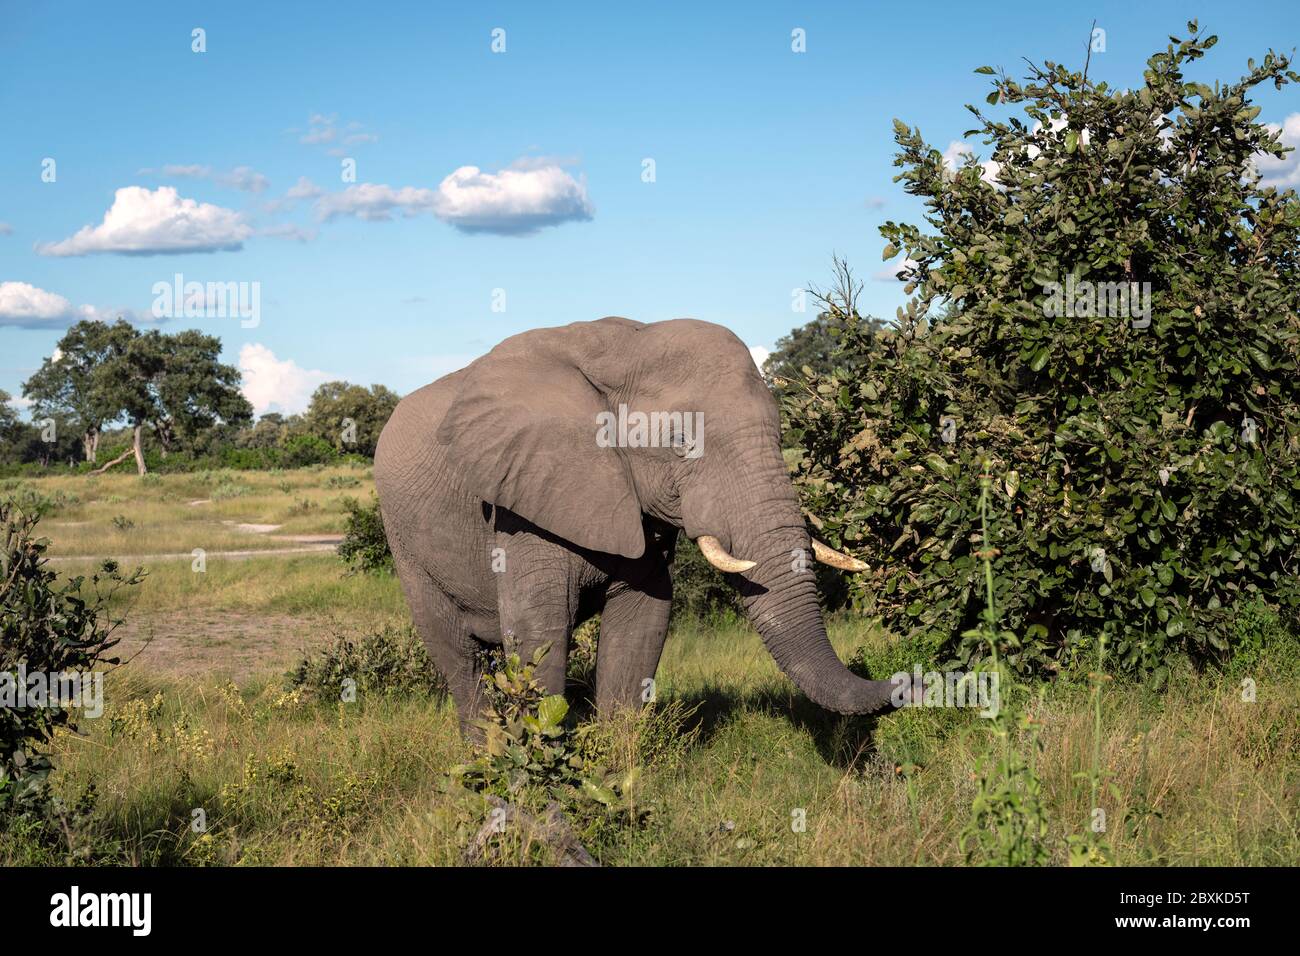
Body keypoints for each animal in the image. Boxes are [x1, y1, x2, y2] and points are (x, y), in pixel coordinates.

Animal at [374, 316, 907, 736]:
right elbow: (537, 630)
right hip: (405, 545)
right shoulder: (520, 502)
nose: (908, 681)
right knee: (458, 656)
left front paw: (617, 760)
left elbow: (644, 616)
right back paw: (485, 754)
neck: (625, 345)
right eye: (681, 441)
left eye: (781, 436)